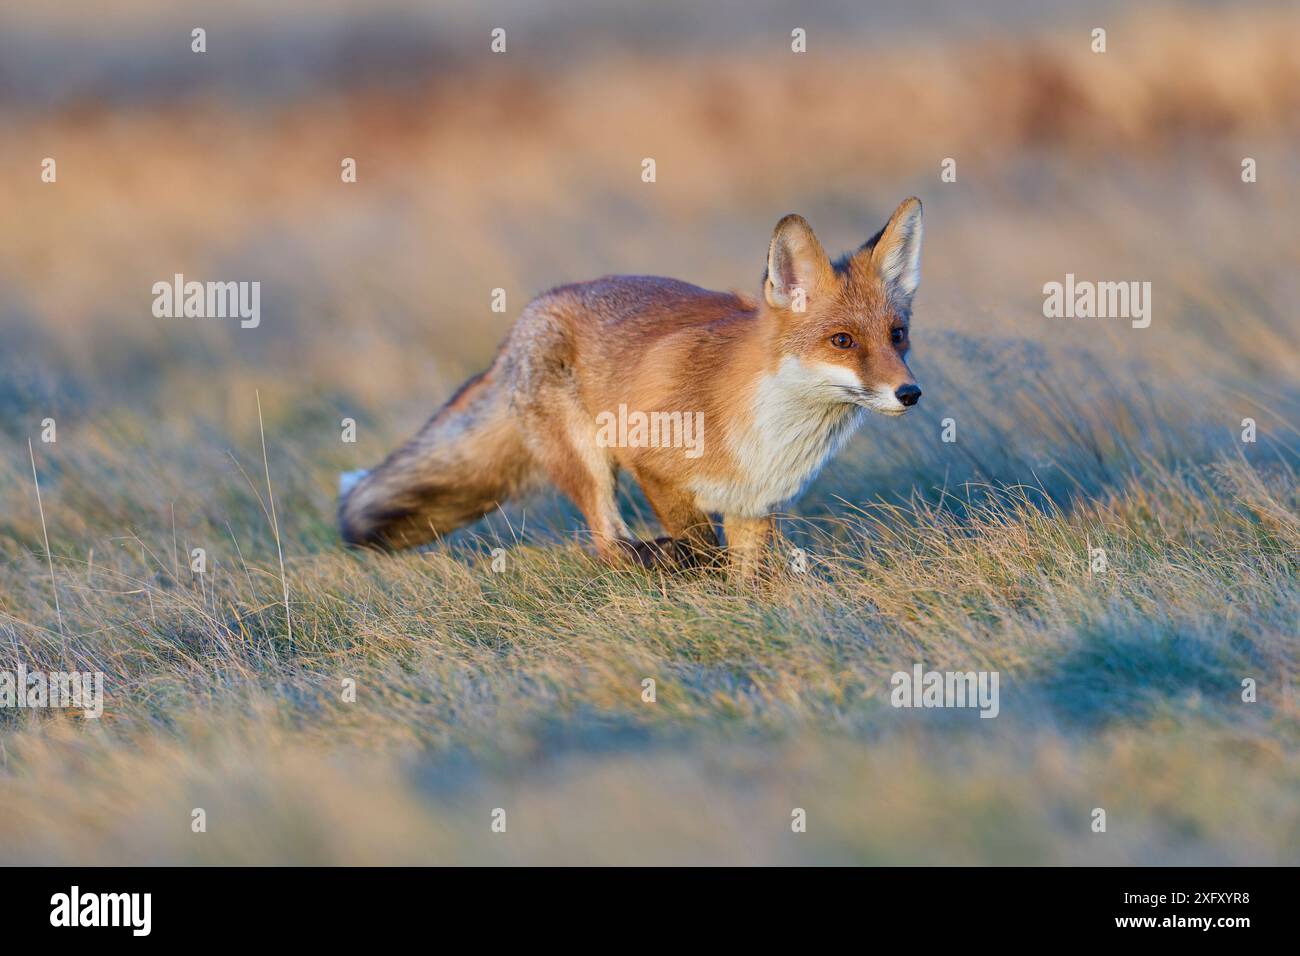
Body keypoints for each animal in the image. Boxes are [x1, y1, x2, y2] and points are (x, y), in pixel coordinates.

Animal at [339, 198, 924, 580]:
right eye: (842, 341)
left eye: (897, 335)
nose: (910, 394)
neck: (769, 430)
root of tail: (526, 317)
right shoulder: (653, 467)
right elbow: (702, 548)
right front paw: (698, 577)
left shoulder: (753, 503)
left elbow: (747, 578)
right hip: (589, 458)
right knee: (608, 543)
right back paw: (653, 559)